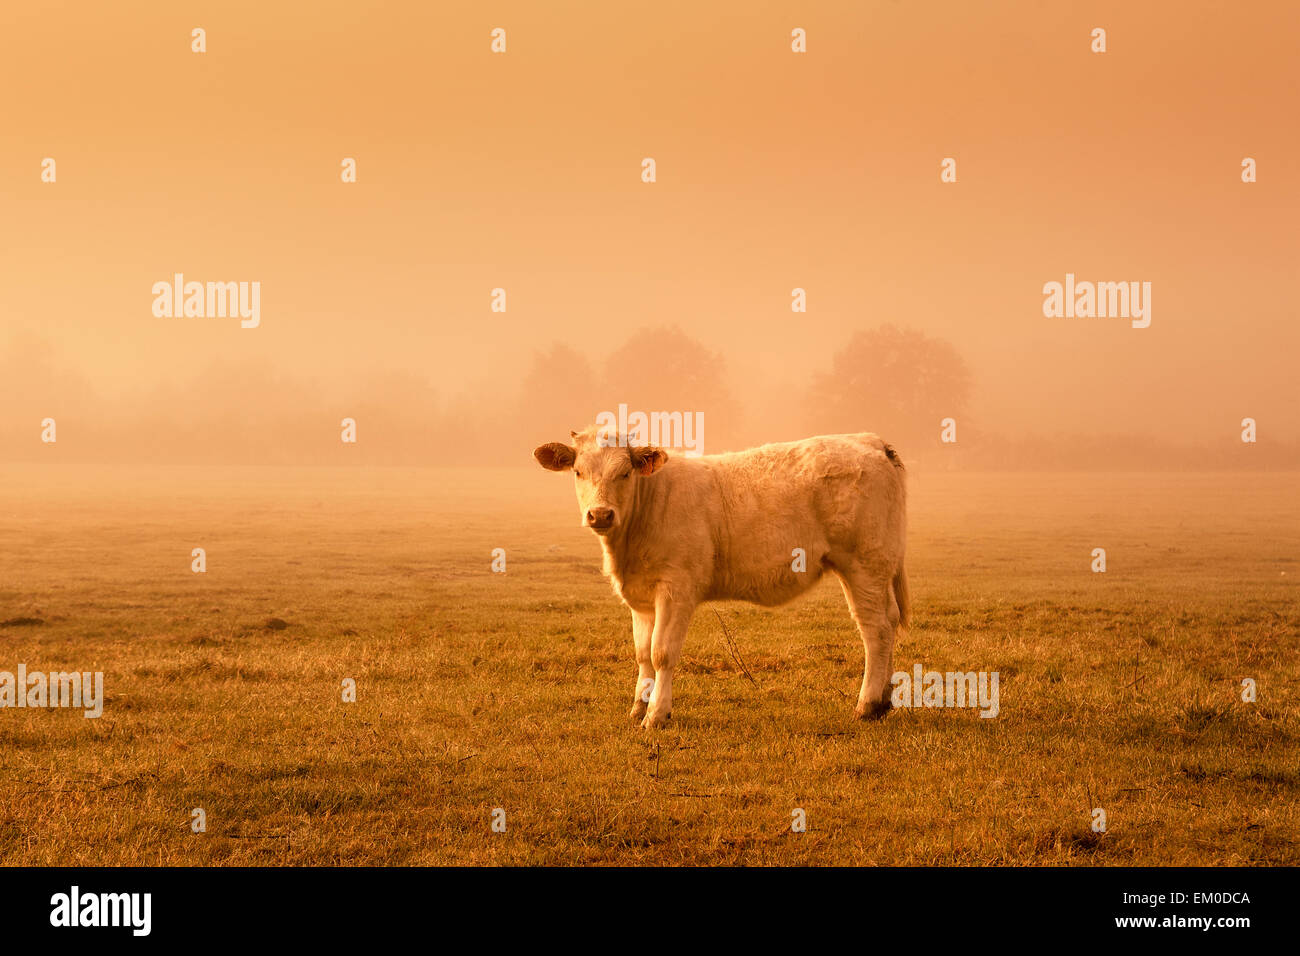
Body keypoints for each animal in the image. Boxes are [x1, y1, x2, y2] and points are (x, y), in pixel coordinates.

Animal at [534, 425, 910, 729]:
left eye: (625, 473)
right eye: (578, 471)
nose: (600, 514)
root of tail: (869, 440)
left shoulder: (676, 589)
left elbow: (661, 652)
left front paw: (656, 714)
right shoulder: (640, 598)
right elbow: (642, 653)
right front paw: (639, 707)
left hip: (865, 563)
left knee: (875, 627)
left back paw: (867, 705)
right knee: (889, 621)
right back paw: (884, 701)